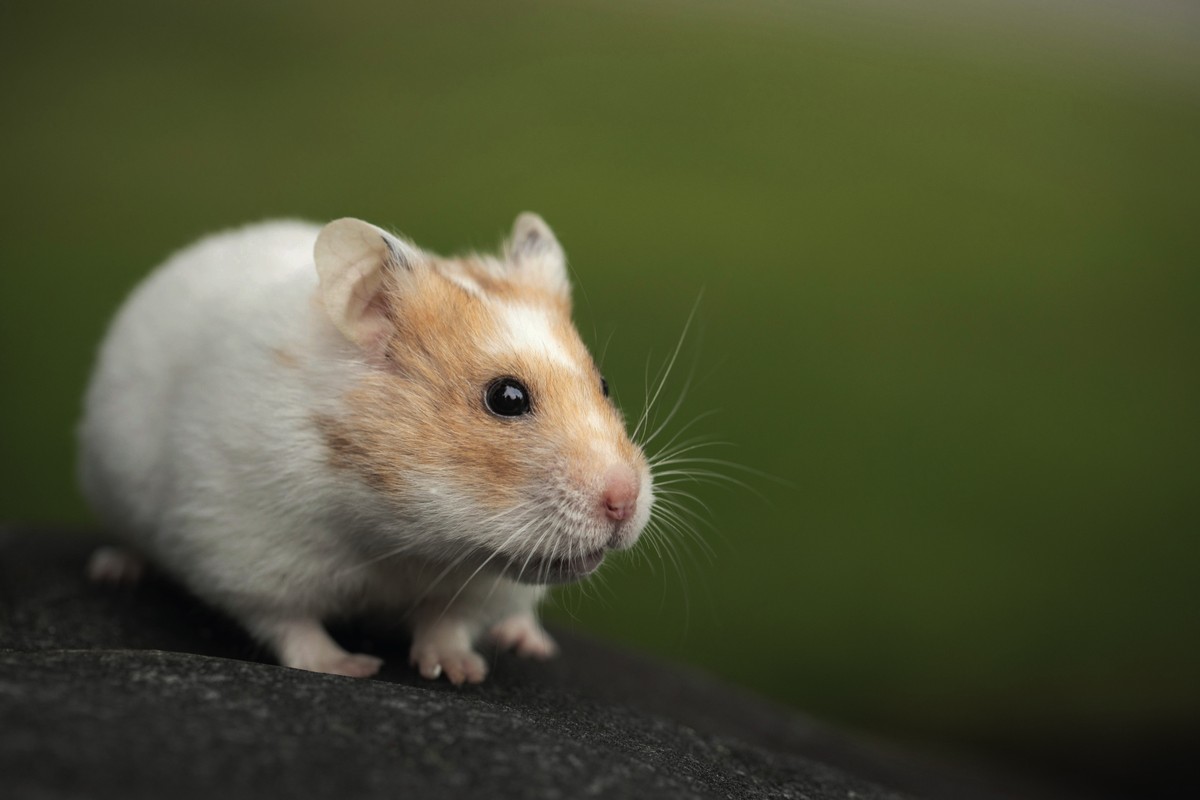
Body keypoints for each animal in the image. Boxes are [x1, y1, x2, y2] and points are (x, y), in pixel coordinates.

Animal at [78, 214, 654, 683]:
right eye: (506, 397)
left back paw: (526, 640)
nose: (624, 502)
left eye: (604, 385)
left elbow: (448, 622)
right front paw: (351, 667)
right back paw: (115, 570)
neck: (402, 537)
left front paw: (460, 672)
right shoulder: (243, 547)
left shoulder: (480, 586)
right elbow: (290, 623)